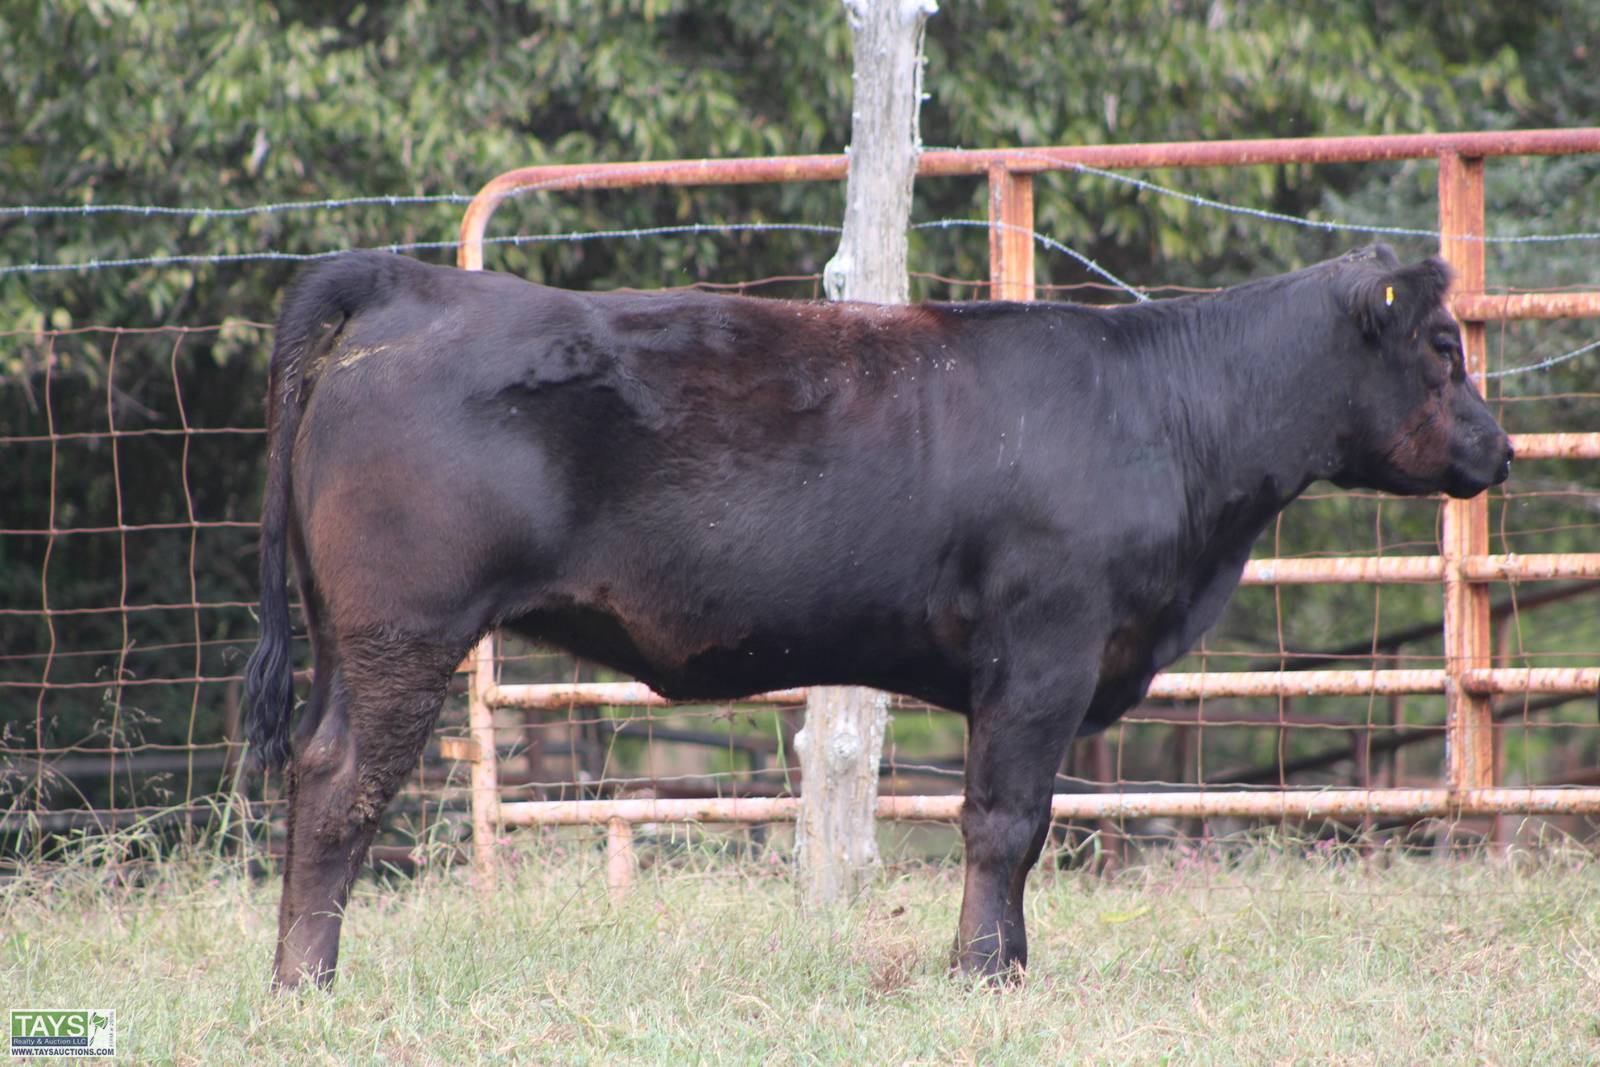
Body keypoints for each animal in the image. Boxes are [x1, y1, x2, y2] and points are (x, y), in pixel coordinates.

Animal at [244, 244, 1511, 988]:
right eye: (1442, 345)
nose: (1498, 449)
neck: (1166, 413)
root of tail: (410, 282)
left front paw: (1003, 962)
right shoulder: (1043, 652)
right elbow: (1004, 820)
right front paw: (984, 971)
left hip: (349, 636)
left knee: (315, 766)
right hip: (406, 627)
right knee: (344, 780)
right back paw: (308, 979)